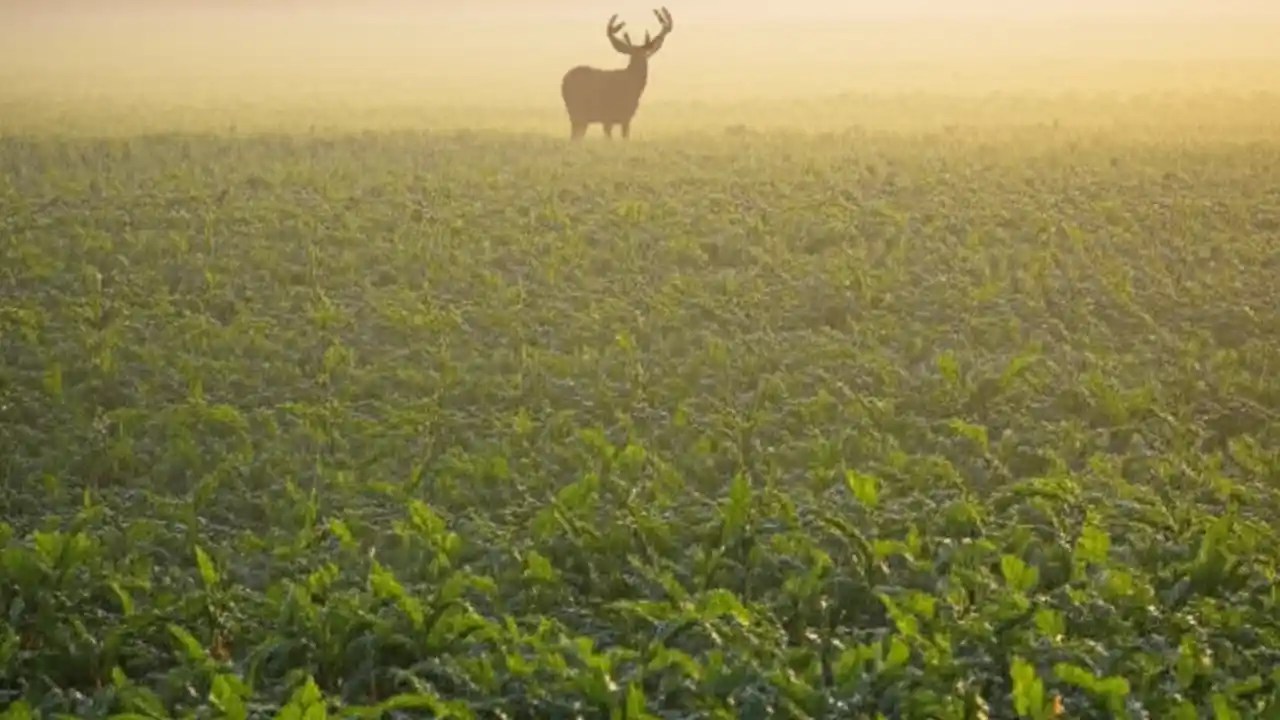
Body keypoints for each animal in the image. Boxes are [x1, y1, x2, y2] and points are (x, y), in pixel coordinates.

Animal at [560, 8, 674, 141]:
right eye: (632, 56)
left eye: (645, 55)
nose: (641, 66)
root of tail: (564, 80)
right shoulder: (608, 115)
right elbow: (609, 138)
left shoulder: (626, 117)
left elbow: (625, 137)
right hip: (577, 110)